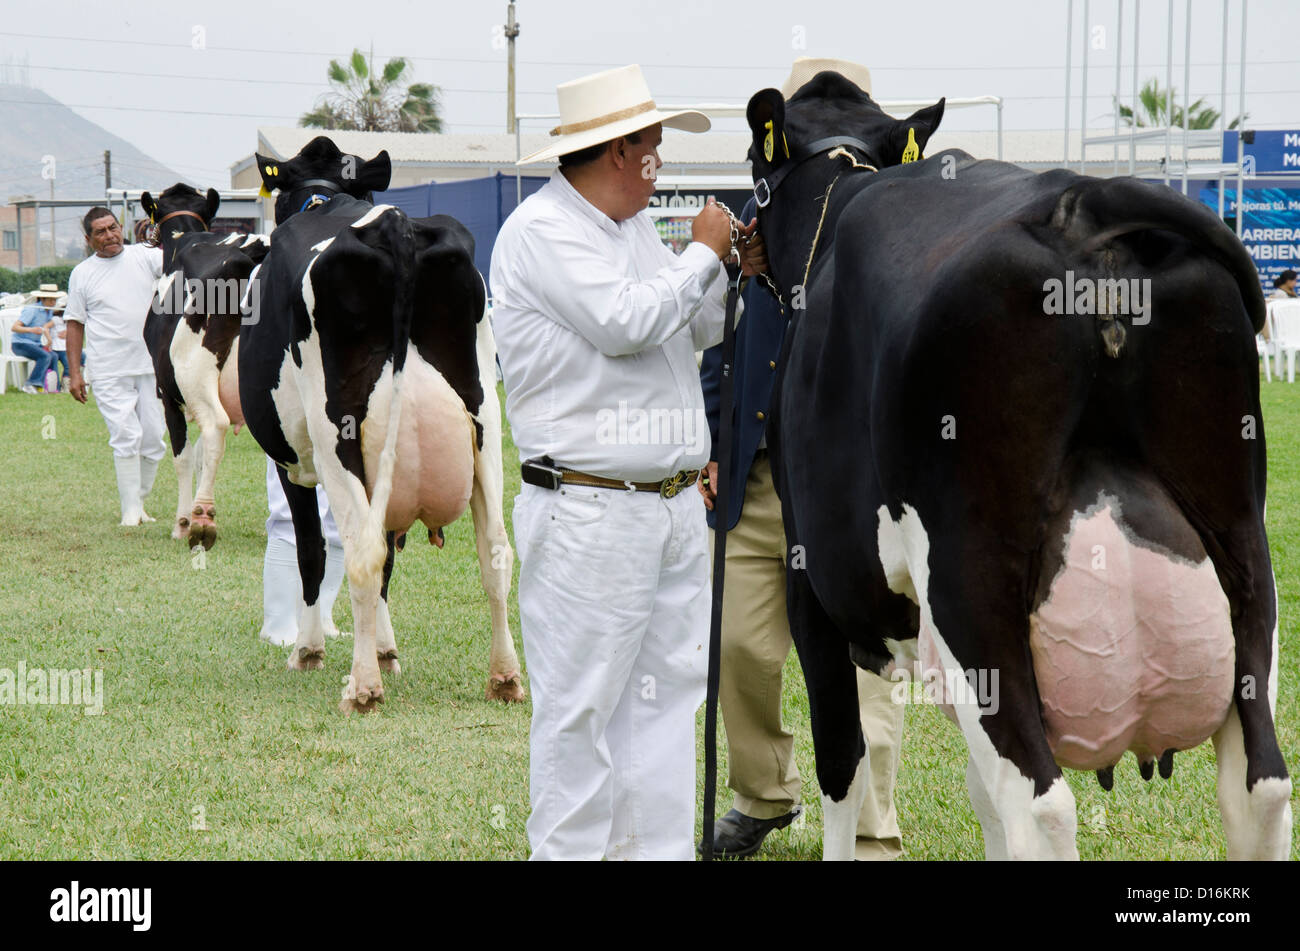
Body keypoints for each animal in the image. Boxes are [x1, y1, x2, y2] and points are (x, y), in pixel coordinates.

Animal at [141, 184, 270, 548]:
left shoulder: (169, 394)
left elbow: (183, 457)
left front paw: (181, 522)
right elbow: (196, 457)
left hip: (193, 369)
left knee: (215, 425)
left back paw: (201, 518)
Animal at [242, 135, 524, 711]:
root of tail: (395, 224)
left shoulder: (291, 461)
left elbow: (312, 550)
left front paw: (309, 651)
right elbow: (394, 557)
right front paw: (388, 650)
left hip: (337, 438)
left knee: (363, 553)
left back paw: (363, 688)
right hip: (484, 422)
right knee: (495, 552)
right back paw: (505, 677)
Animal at [743, 72, 1291, 859]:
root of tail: (1082, 201)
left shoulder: (809, 583)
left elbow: (842, 764)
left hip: (972, 585)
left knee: (1037, 801)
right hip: (1244, 552)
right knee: (1260, 784)